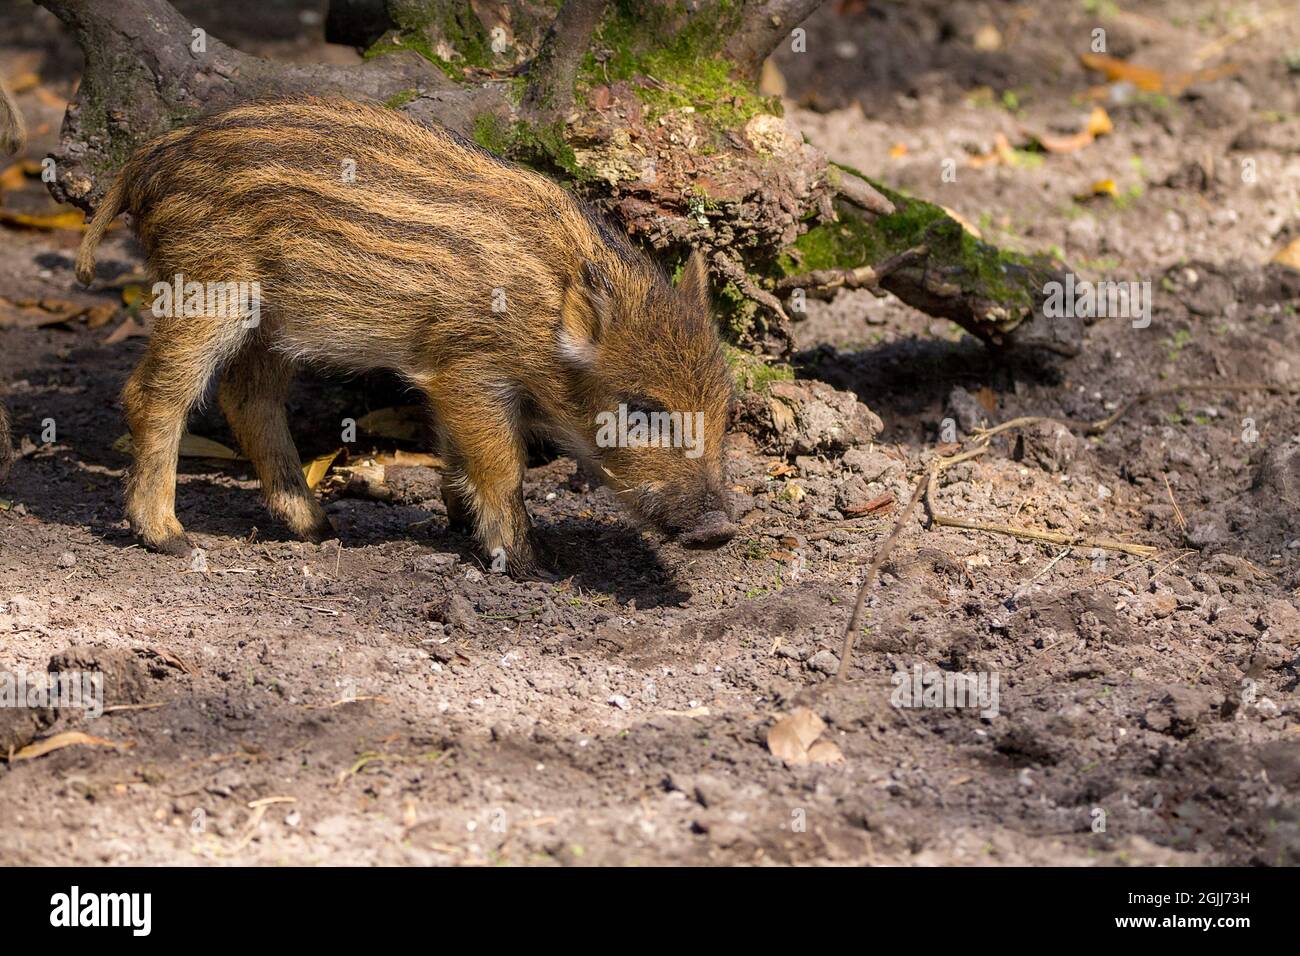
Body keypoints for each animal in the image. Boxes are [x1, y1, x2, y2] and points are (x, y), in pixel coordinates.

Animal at [75, 97, 737, 575]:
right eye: (641, 410)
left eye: (724, 413)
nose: (721, 531)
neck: (547, 314)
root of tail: (149, 159)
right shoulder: (469, 368)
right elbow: (504, 466)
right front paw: (533, 565)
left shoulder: (448, 375)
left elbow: (457, 452)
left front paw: (461, 526)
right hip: (206, 288)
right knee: (154, 395)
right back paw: (171, 539)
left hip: (273, 325)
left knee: (248, 400)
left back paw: (319, 528)